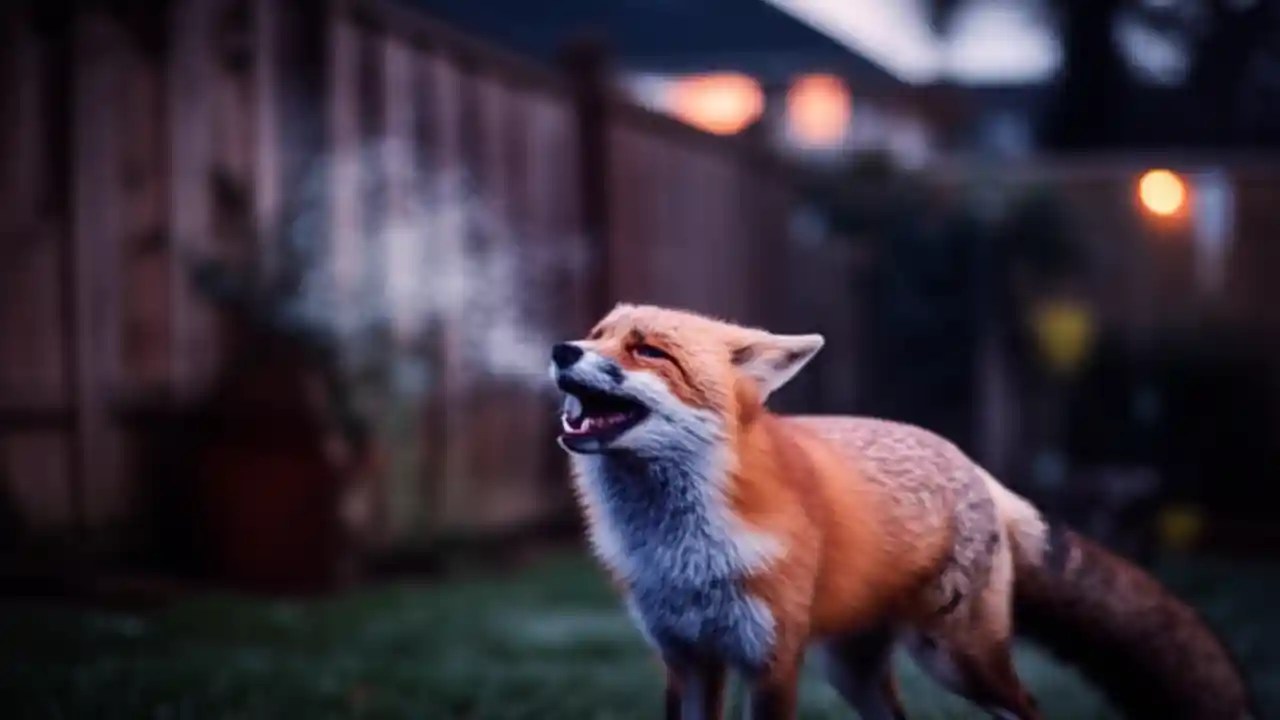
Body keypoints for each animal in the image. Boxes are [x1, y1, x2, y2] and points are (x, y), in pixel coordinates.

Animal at [548, 303, 1254, 720]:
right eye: (596, 336)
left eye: (648, 351)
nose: (561, 350)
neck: (682, 550)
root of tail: (972, 466)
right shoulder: (687, 660)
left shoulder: (771, 661)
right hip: (854, 672)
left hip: (958, 659)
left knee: (1026, 706)